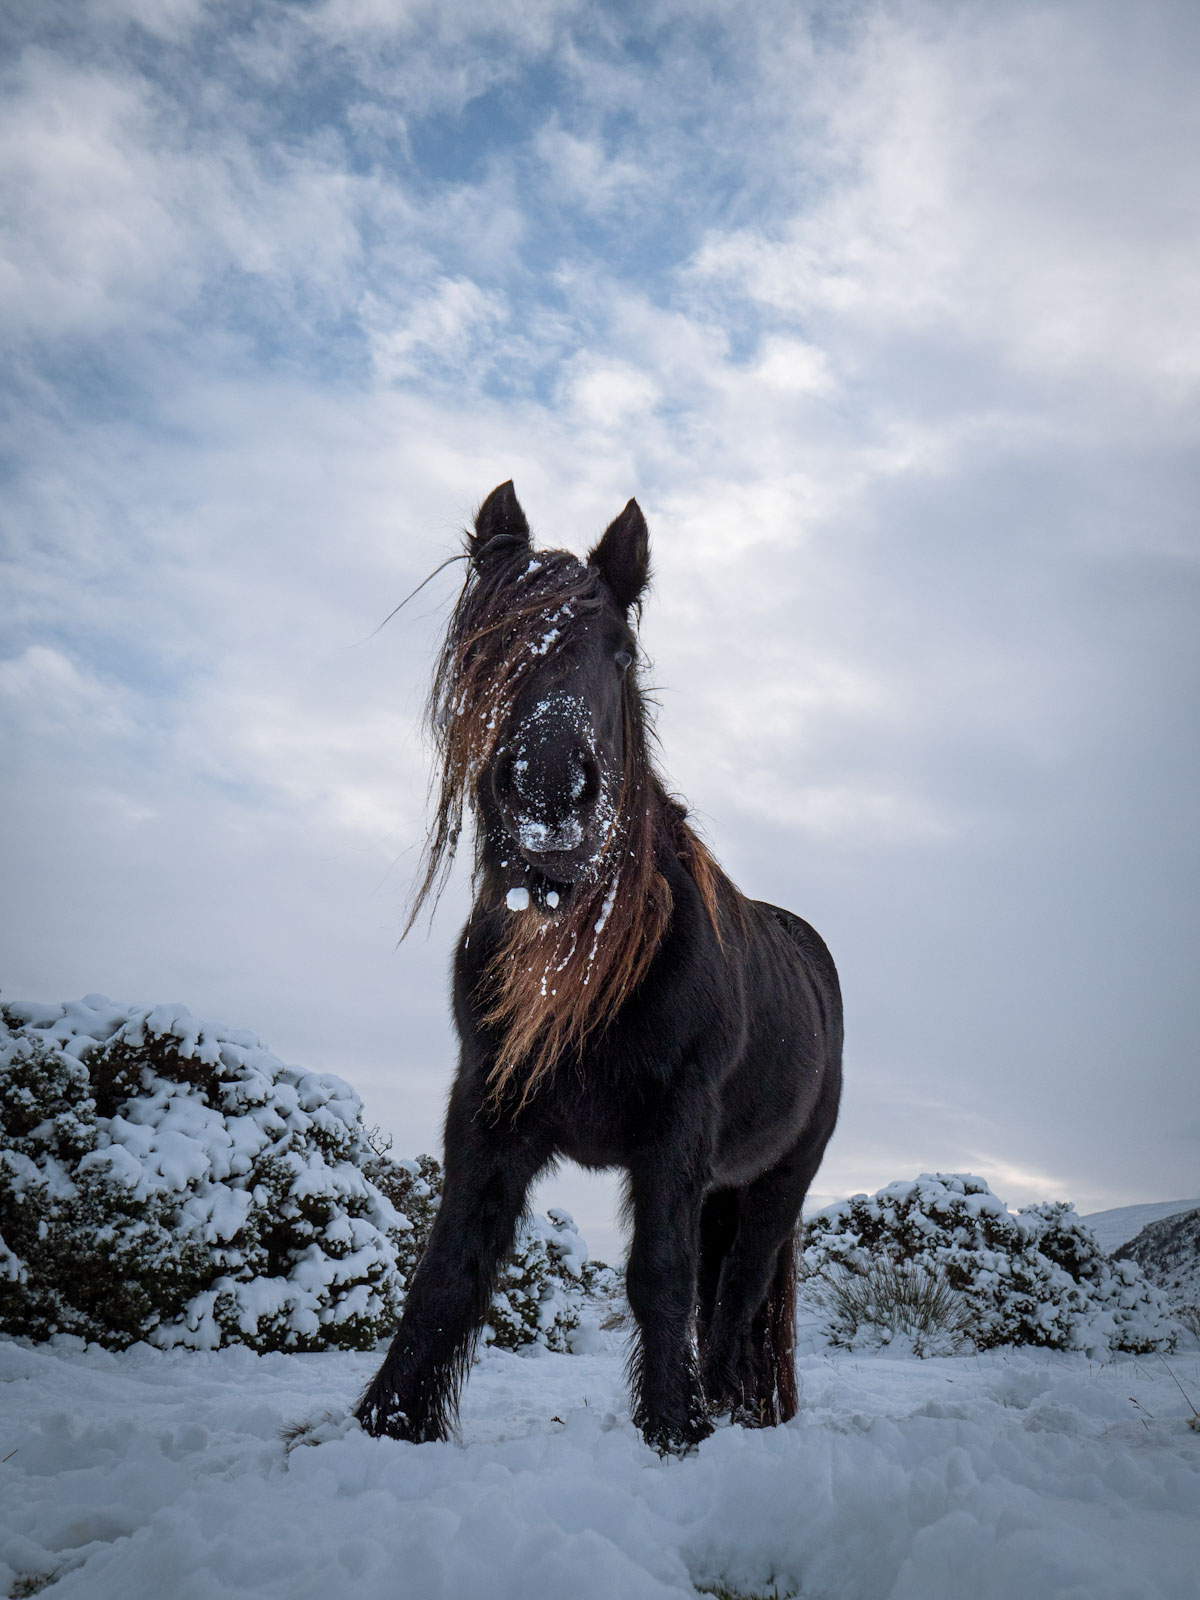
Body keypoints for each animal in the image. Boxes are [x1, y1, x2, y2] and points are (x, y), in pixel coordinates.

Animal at [356, 481, 842, 1454]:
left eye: (621, 651)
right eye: (487, 641)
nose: (551, 788)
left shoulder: (677, 1126)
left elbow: (659, 1278)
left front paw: (675, 1432)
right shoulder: (485, 1112)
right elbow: (449, 1270)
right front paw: (386, 1421)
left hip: (777, 1183)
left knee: (735, 1298)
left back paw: (726, 1408)